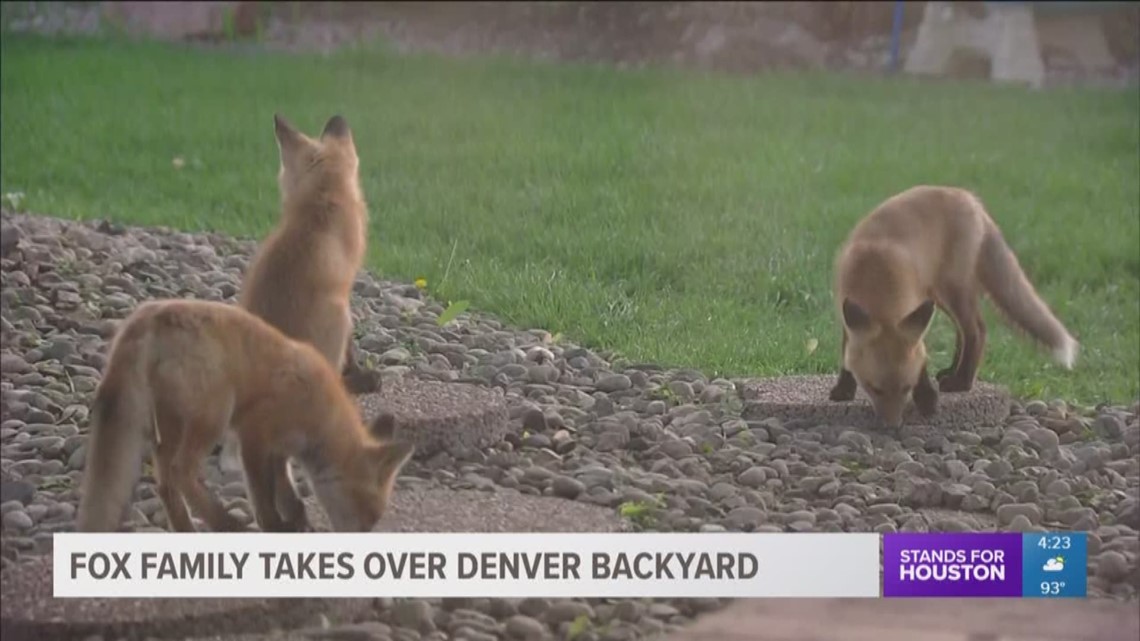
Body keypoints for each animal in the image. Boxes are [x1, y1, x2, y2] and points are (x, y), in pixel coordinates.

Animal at [75, 299, 415, 534]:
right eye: (368, 514)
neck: (319, 410)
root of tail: (148, 314)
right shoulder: (255, 435)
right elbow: (262, 495)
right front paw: (276, 527)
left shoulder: (279, 450)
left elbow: (286, 490)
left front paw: (297, 520)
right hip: (214, 415)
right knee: (181, 471)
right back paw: (225, 523)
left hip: (169, 426)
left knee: (165, 483)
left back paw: (188, 530)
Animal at [828, 185, 1079, 428]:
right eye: (875, 389)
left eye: (906, 387)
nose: (892, 425)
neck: (875, 274)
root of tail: (968, 197)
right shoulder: (848, 312)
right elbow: (846, 350)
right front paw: (844, 389)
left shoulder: (913, 310)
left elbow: (921, 357)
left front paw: (926, 398)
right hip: (938, 295)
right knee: (962, 331)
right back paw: (952, 370)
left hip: (952, 289)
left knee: (977, 329)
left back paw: (962, 381)